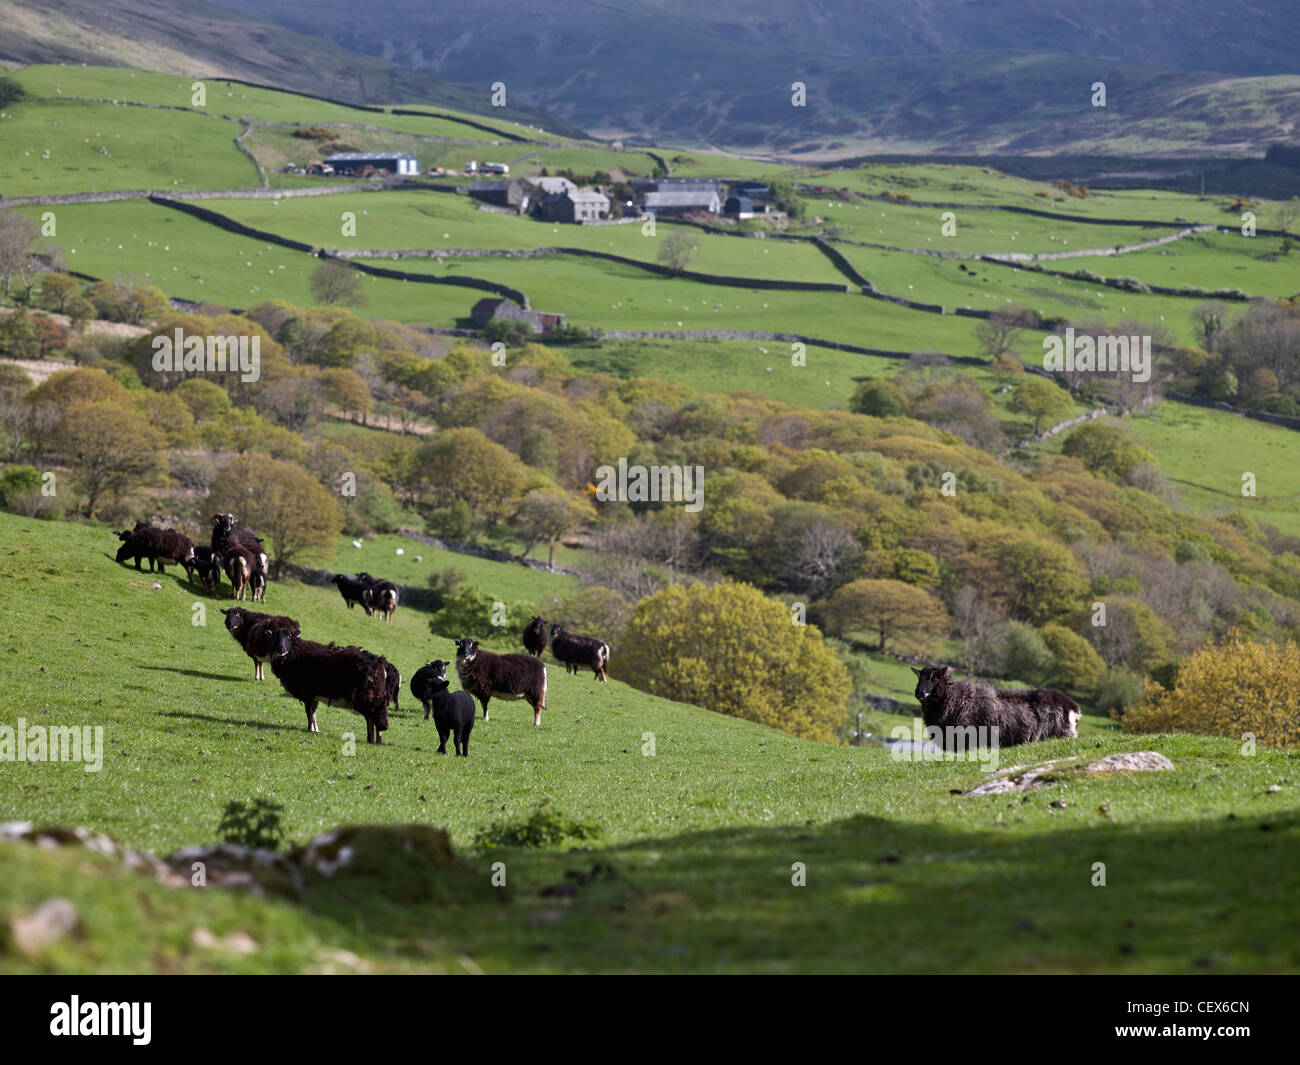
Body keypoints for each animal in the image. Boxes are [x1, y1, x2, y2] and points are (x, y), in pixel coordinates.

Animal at [912, 665, 1080, 749]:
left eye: (934, 678)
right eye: (919, 678)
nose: (919, 692)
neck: (955, 696)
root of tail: (1073, 706)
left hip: (1062, 734)